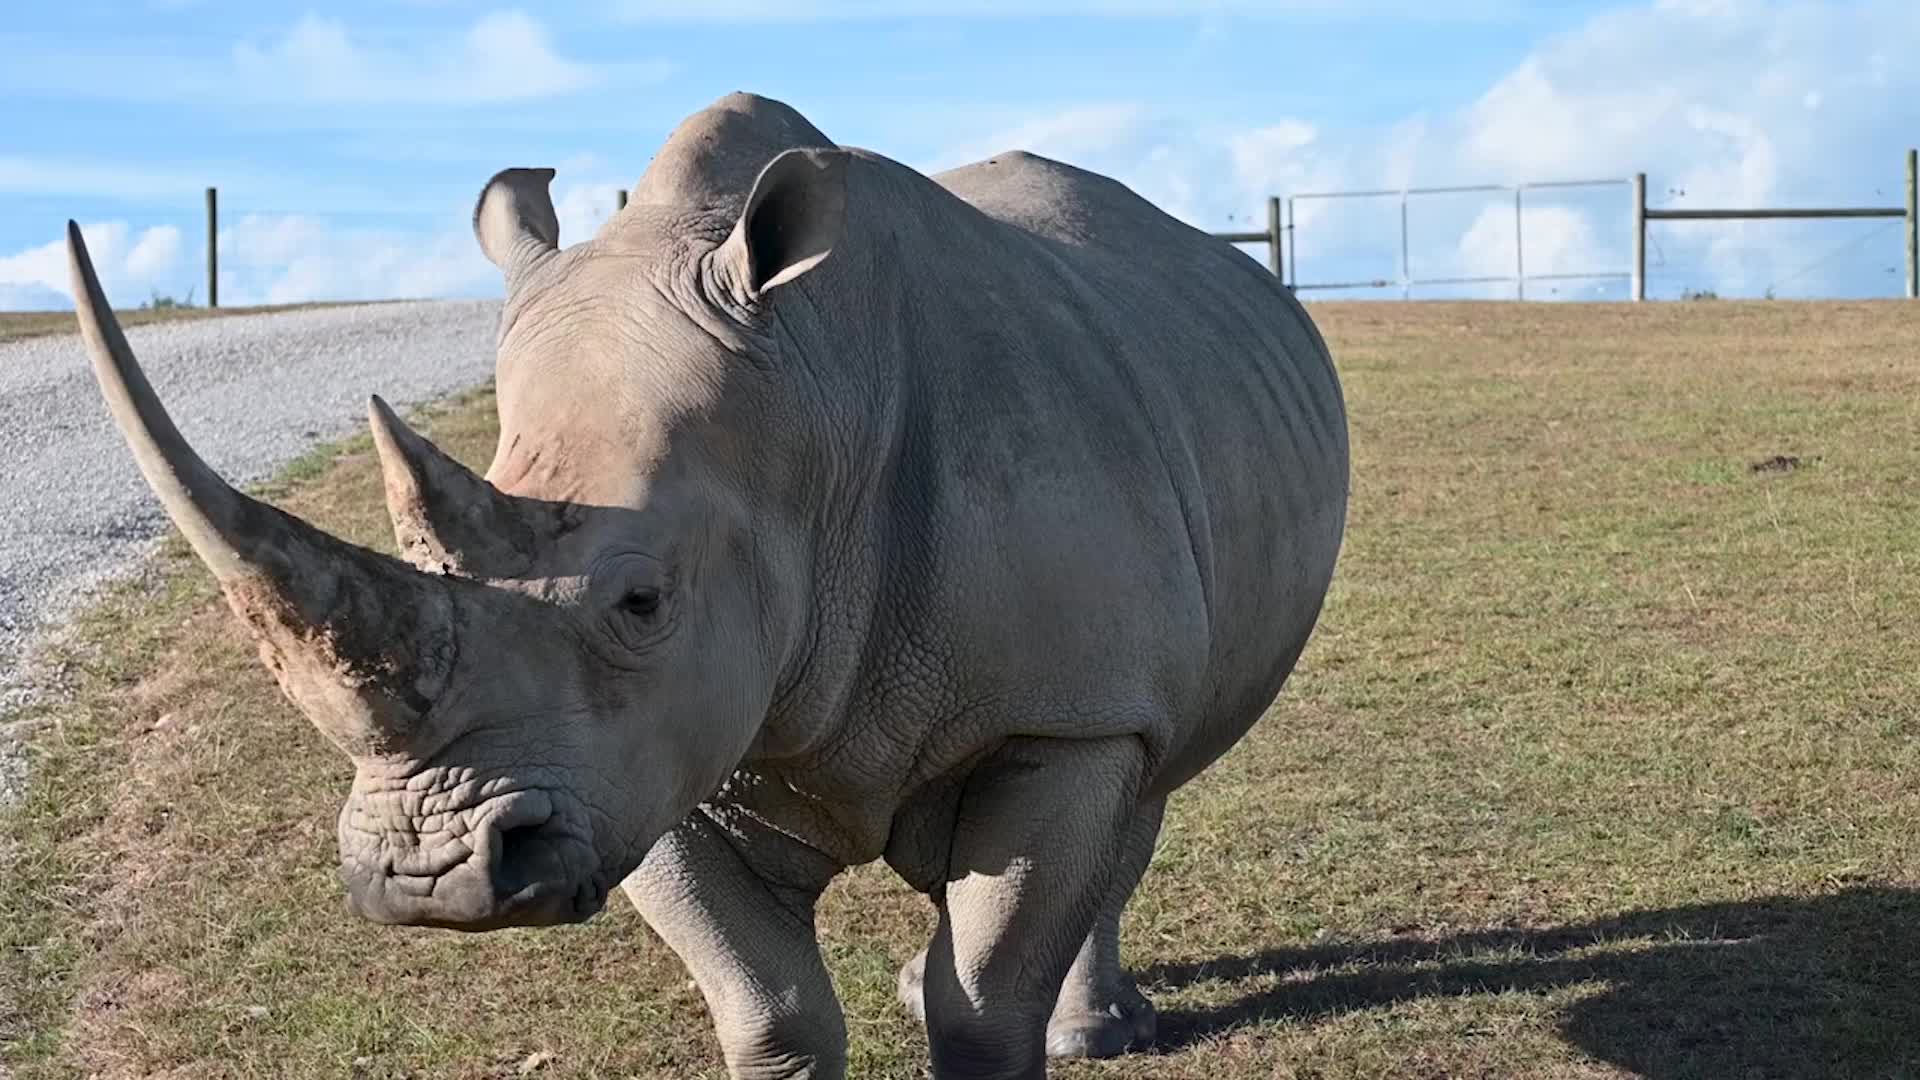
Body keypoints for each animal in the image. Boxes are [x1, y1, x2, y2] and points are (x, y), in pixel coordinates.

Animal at [67, 93, 1348, 1079]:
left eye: (641, 603)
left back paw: (1091, 1032)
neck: (812, 413)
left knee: (1156, 765)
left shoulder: (1062, 707)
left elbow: (988, 1009)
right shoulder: (645, 754)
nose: (428, 874)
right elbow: (773, 1015)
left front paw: (1001, 1017)